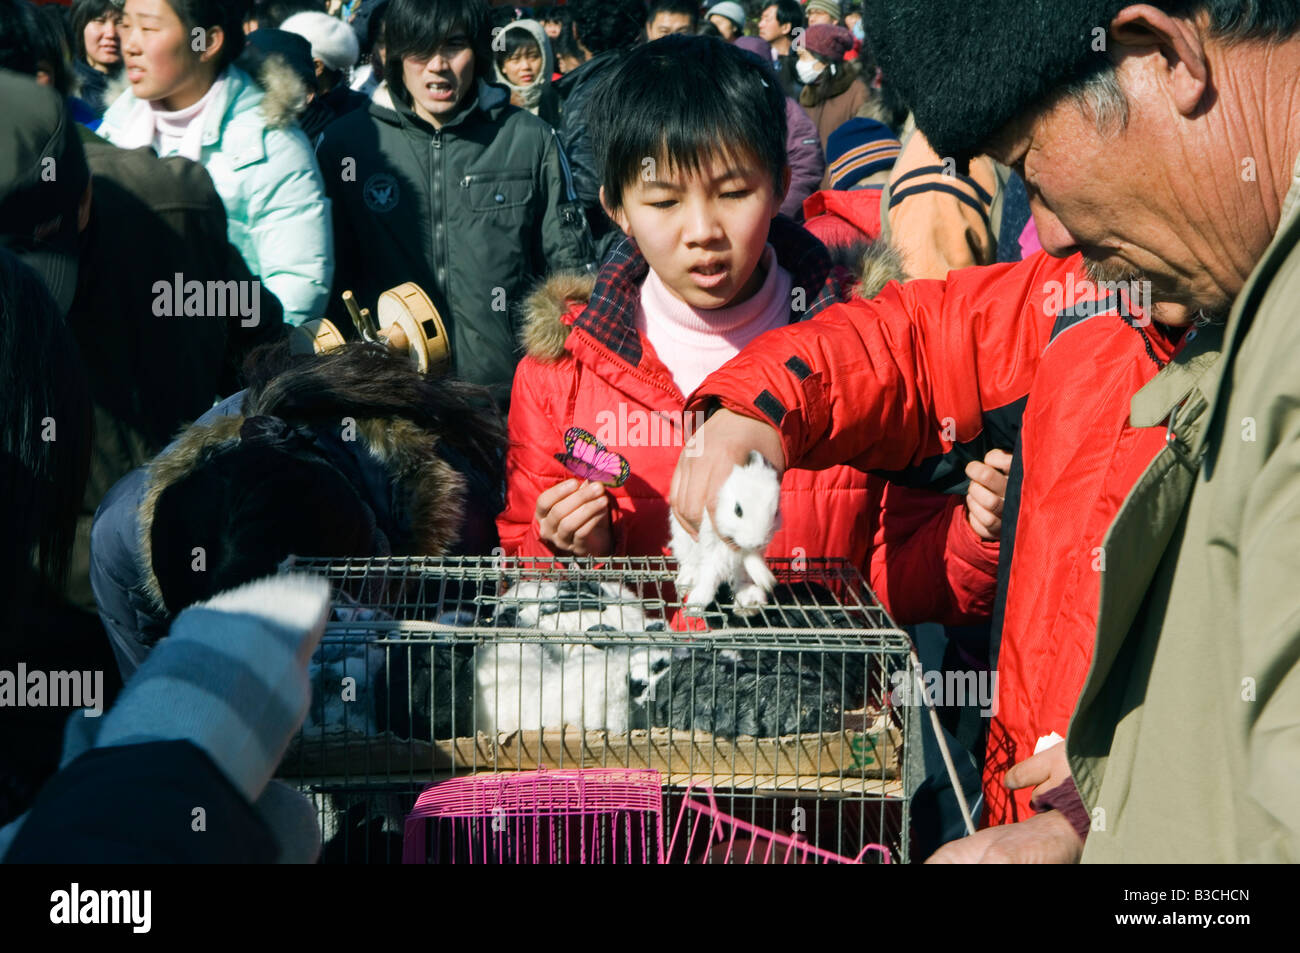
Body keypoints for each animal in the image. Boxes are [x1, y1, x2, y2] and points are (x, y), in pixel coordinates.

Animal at [669, 450, 781, 612]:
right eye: (738, 510)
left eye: (776, 512)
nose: (757, 543)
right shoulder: (711, 542)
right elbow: (710, 573)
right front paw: (696, 603)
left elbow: (748, 563)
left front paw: (766, 580)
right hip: (683, 541)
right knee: (690, 563)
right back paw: (687, 583)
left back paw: (750, 602)